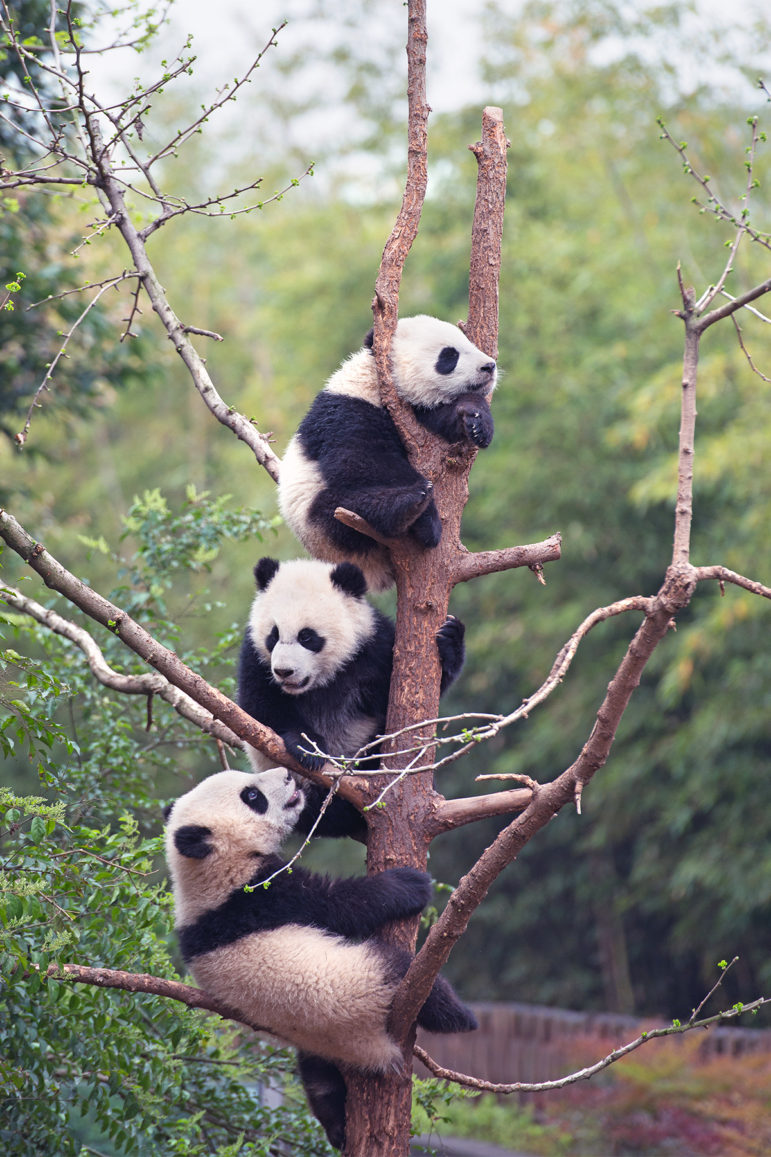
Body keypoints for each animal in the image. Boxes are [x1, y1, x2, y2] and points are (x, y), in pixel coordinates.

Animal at [164, 766, 477, 1150]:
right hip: (361, 985)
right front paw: (408, 885)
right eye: (252, 796)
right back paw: (460, 1017)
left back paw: (339, 1128)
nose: (287, 774)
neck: (205, 872)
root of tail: (372, 1048)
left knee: (319, 1082)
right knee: (409, 977)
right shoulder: (259, 896)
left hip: (317, 1044)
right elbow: (336, 905)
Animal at [237, 555, 465, 839]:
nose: (283, 671)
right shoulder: (255, 656)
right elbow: (258, 706)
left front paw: (450, 639)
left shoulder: (371, 648)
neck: (321, 679)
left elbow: (399, 693)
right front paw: (308, 747)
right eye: (273, 635)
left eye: (307, 636)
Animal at [278, 315, 497, 591]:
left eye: (468, 342)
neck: (378, 381)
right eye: (449, 355)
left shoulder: (418, 414)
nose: (489, 366)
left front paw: (477, 422)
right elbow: (357, 462)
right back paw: (415, 511)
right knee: (345, 506)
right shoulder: (346, 413)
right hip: (317, 522)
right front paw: (424, 505)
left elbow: (445, 422)